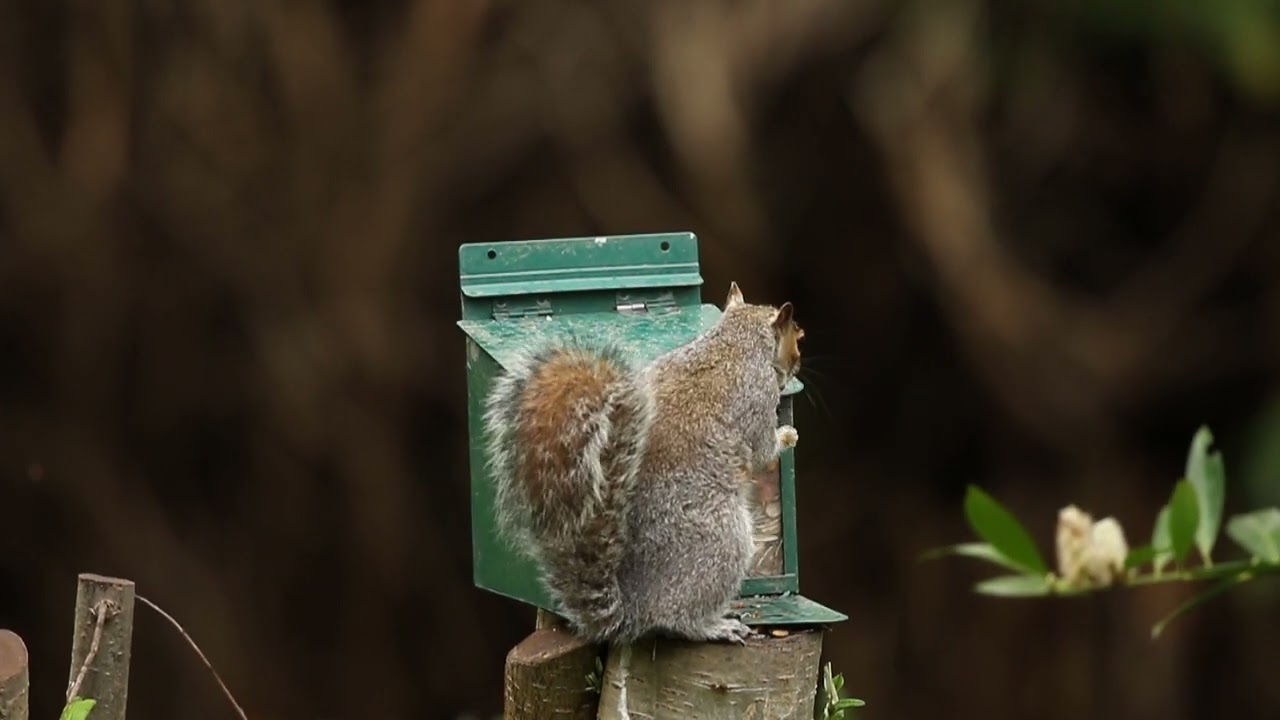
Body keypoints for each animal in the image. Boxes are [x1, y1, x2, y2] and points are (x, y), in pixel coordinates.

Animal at [483, 281, 804, 645]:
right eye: (796, 335)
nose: (797, 365)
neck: (733, 344)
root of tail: (634, 610)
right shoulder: (758, 401)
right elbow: (763, 451)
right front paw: (787, 435)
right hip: (724, 542)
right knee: (679, 619)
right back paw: (715, 626)